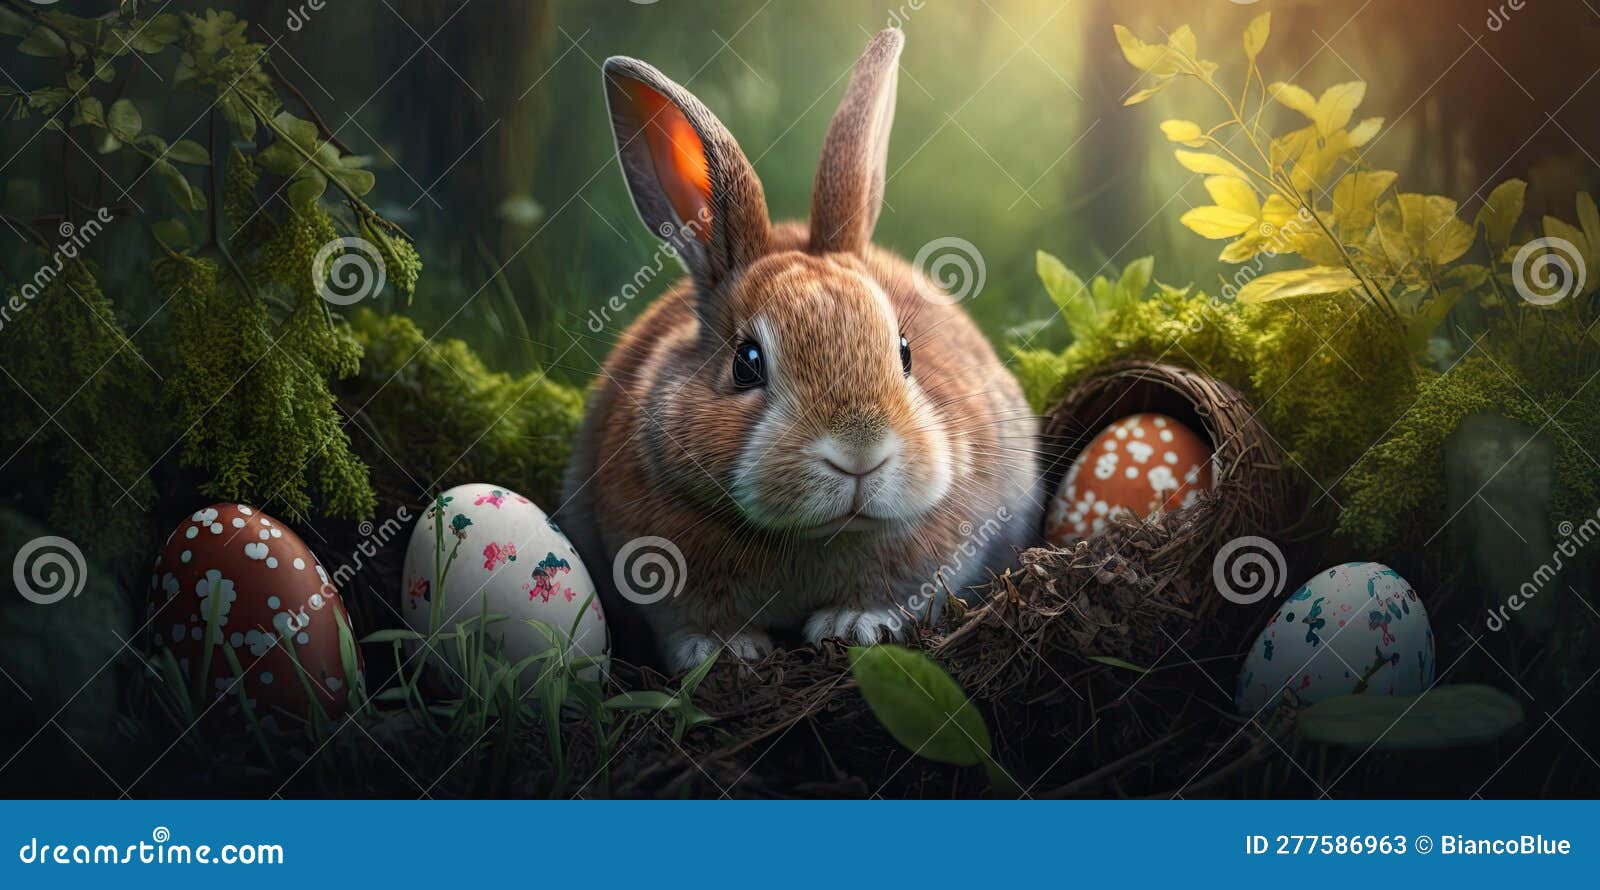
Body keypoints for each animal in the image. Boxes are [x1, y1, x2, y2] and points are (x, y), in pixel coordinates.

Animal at [558, 28, 1042, 672]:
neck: (817, 536)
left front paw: (855, 625)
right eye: (746, 363)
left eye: (905, 353)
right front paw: (723, 650)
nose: (860, 454)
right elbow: (687, 621)